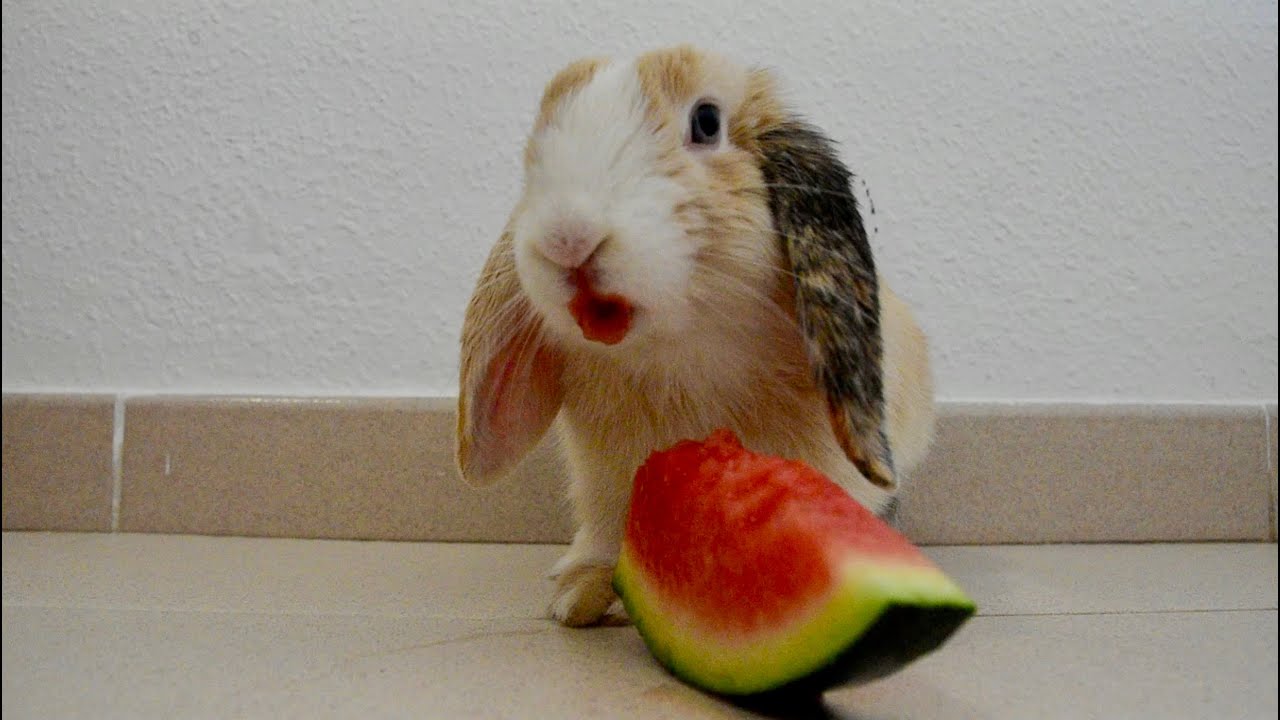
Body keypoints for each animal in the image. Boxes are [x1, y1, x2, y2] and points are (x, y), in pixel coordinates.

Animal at [455, 46, 935, 628]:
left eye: (706, 122)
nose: (566, 238)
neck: (680, 350)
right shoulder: (604, 476)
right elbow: (609, 538)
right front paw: (578, 599)